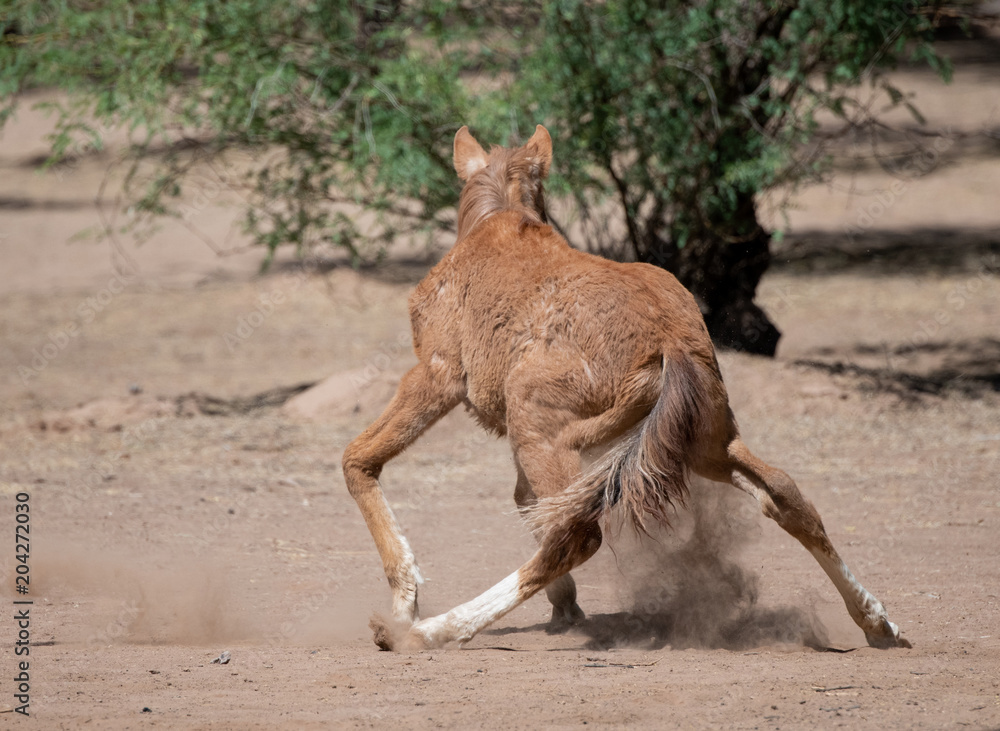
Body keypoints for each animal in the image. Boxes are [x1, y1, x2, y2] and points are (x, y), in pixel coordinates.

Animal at [342, 124, 910, 651]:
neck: (495, 222)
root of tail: (669, 342)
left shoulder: (436, 377)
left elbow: (359, 460)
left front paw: (406, 601)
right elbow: (525, 502)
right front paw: (565, 611)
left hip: (542, 432)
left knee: (574, 537)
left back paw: (425, 632)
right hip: (705, 444)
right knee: (786, 496)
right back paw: (879, 623)